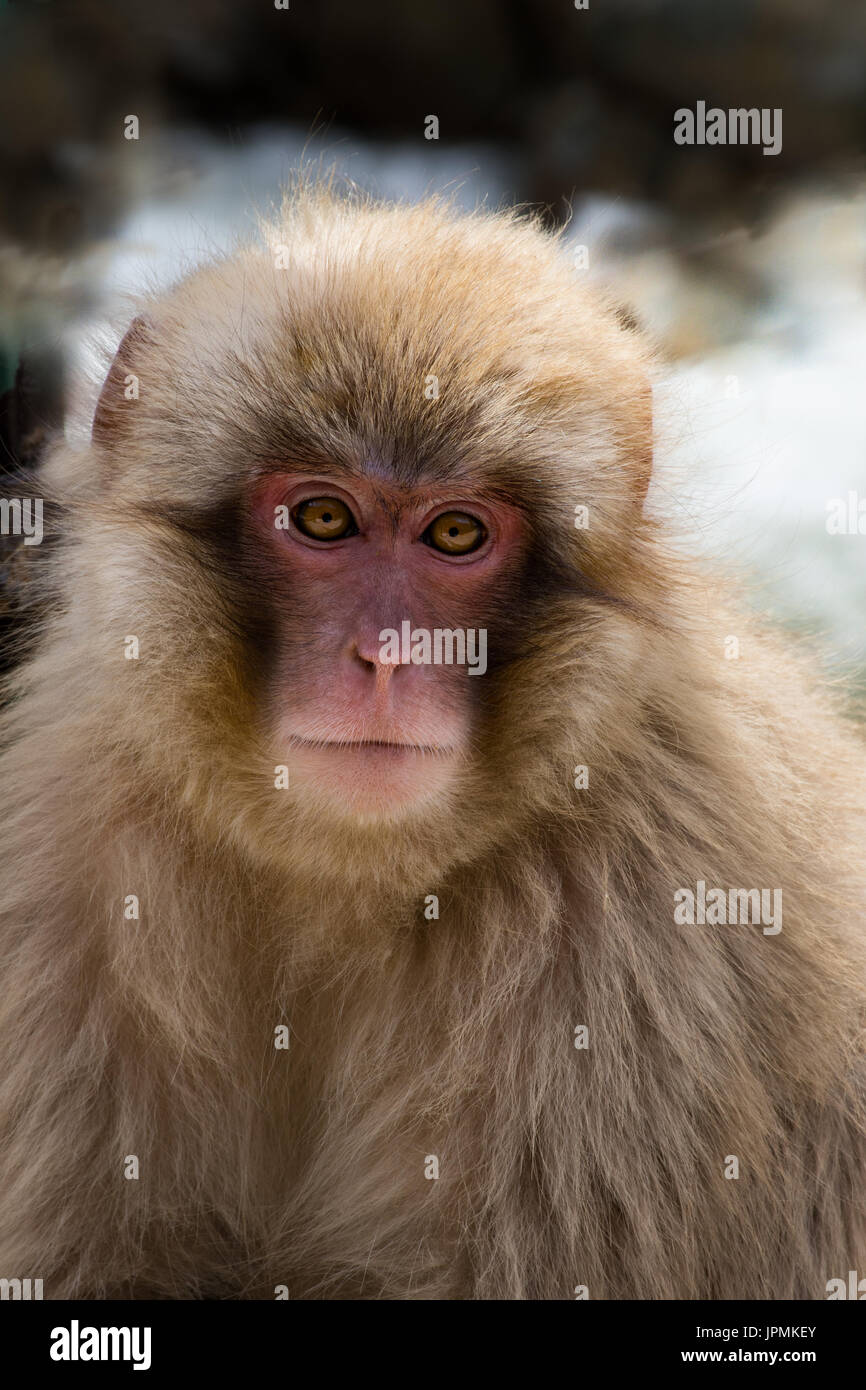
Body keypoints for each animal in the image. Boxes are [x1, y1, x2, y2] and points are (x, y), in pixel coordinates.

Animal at [0, 185, 864, 1301]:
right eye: (323, 518)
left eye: (456, 535)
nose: (391, 656)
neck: (345, 877)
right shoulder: (61, 884)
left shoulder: (642, 960)